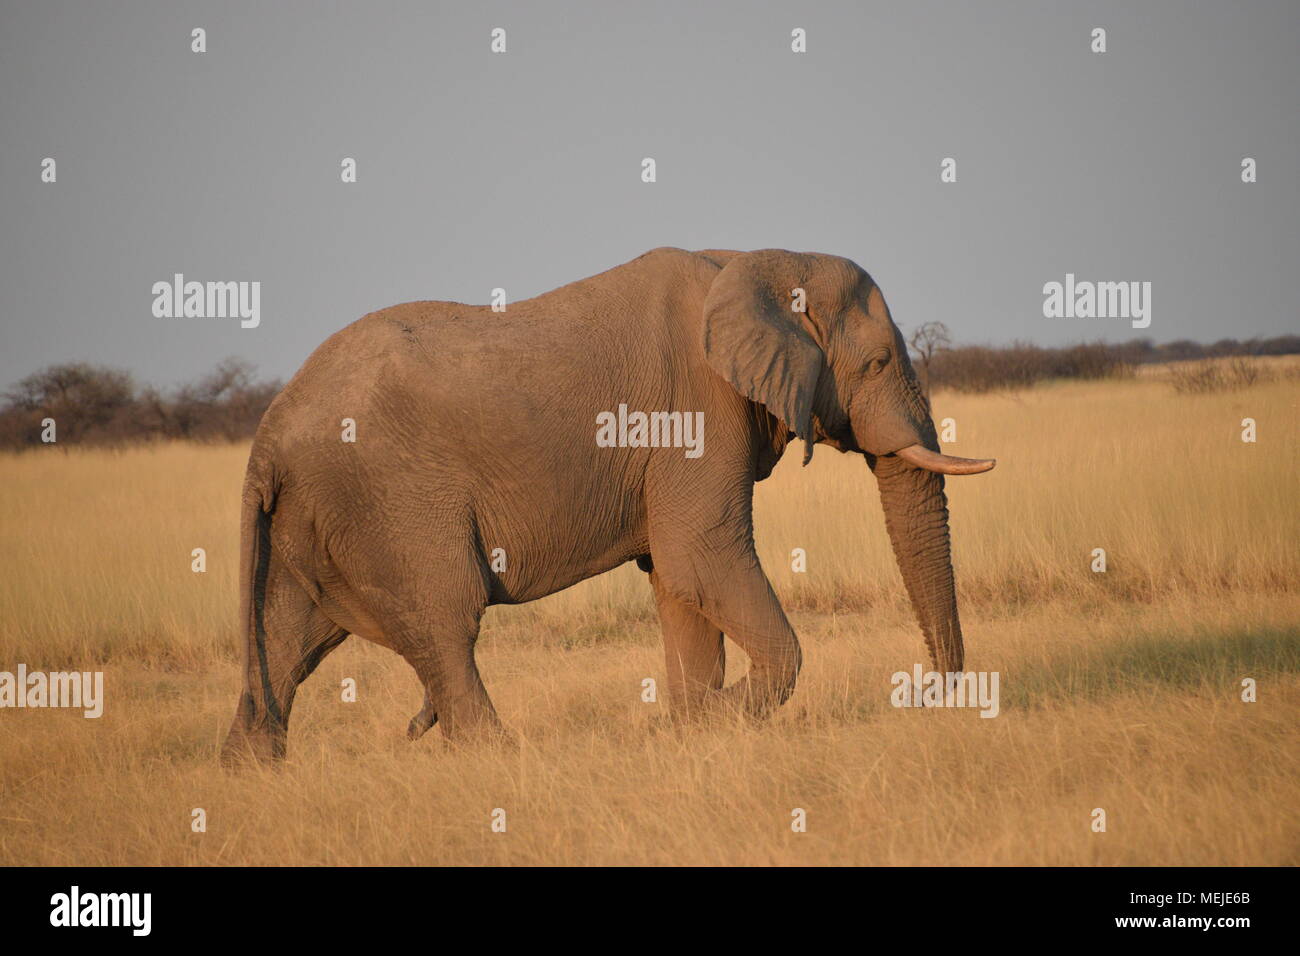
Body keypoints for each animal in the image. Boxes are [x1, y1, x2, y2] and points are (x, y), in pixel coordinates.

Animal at [221, 247, 994, 763]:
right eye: (877, 364)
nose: (928, 697)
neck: (756, 260)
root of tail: (266, 440)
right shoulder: (694, 409)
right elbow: (700, 558)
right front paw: (709, 716)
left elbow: (679, 583)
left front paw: (692, 723)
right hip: (388, 500)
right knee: (444, 620)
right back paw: (500, 756)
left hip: (316, 512)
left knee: (289, 642)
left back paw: (253, 771)